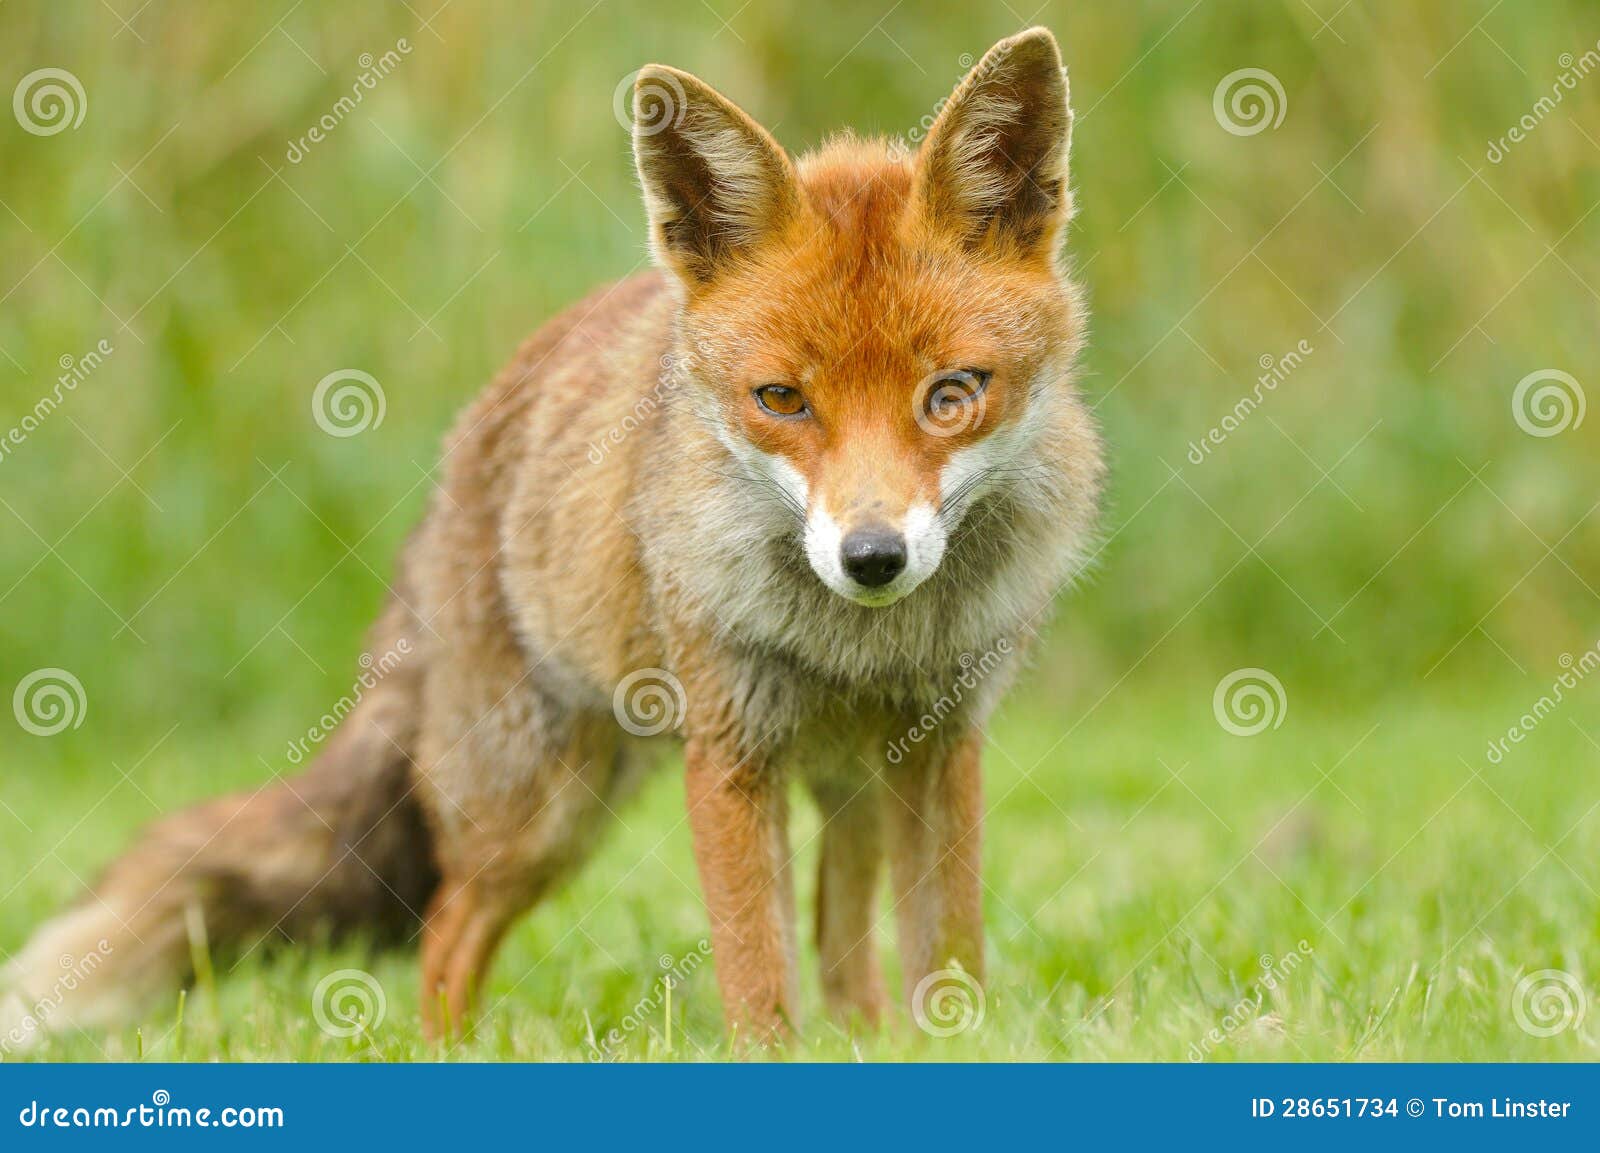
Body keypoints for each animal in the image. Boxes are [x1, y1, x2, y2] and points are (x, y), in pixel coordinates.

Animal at [2, 26, 1102, 1048]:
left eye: (951, 394)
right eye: (782, 400)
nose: (871, 557)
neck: (857, 645)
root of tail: (468, 442)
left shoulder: (941, 744)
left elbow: (945, 958)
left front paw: (947, 1047)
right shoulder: (731, 752)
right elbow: (756, 975)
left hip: (842, 783)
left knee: (843, 955)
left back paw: (866, 1038)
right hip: (546, 807)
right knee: (445, 933)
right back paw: (448, 1057)